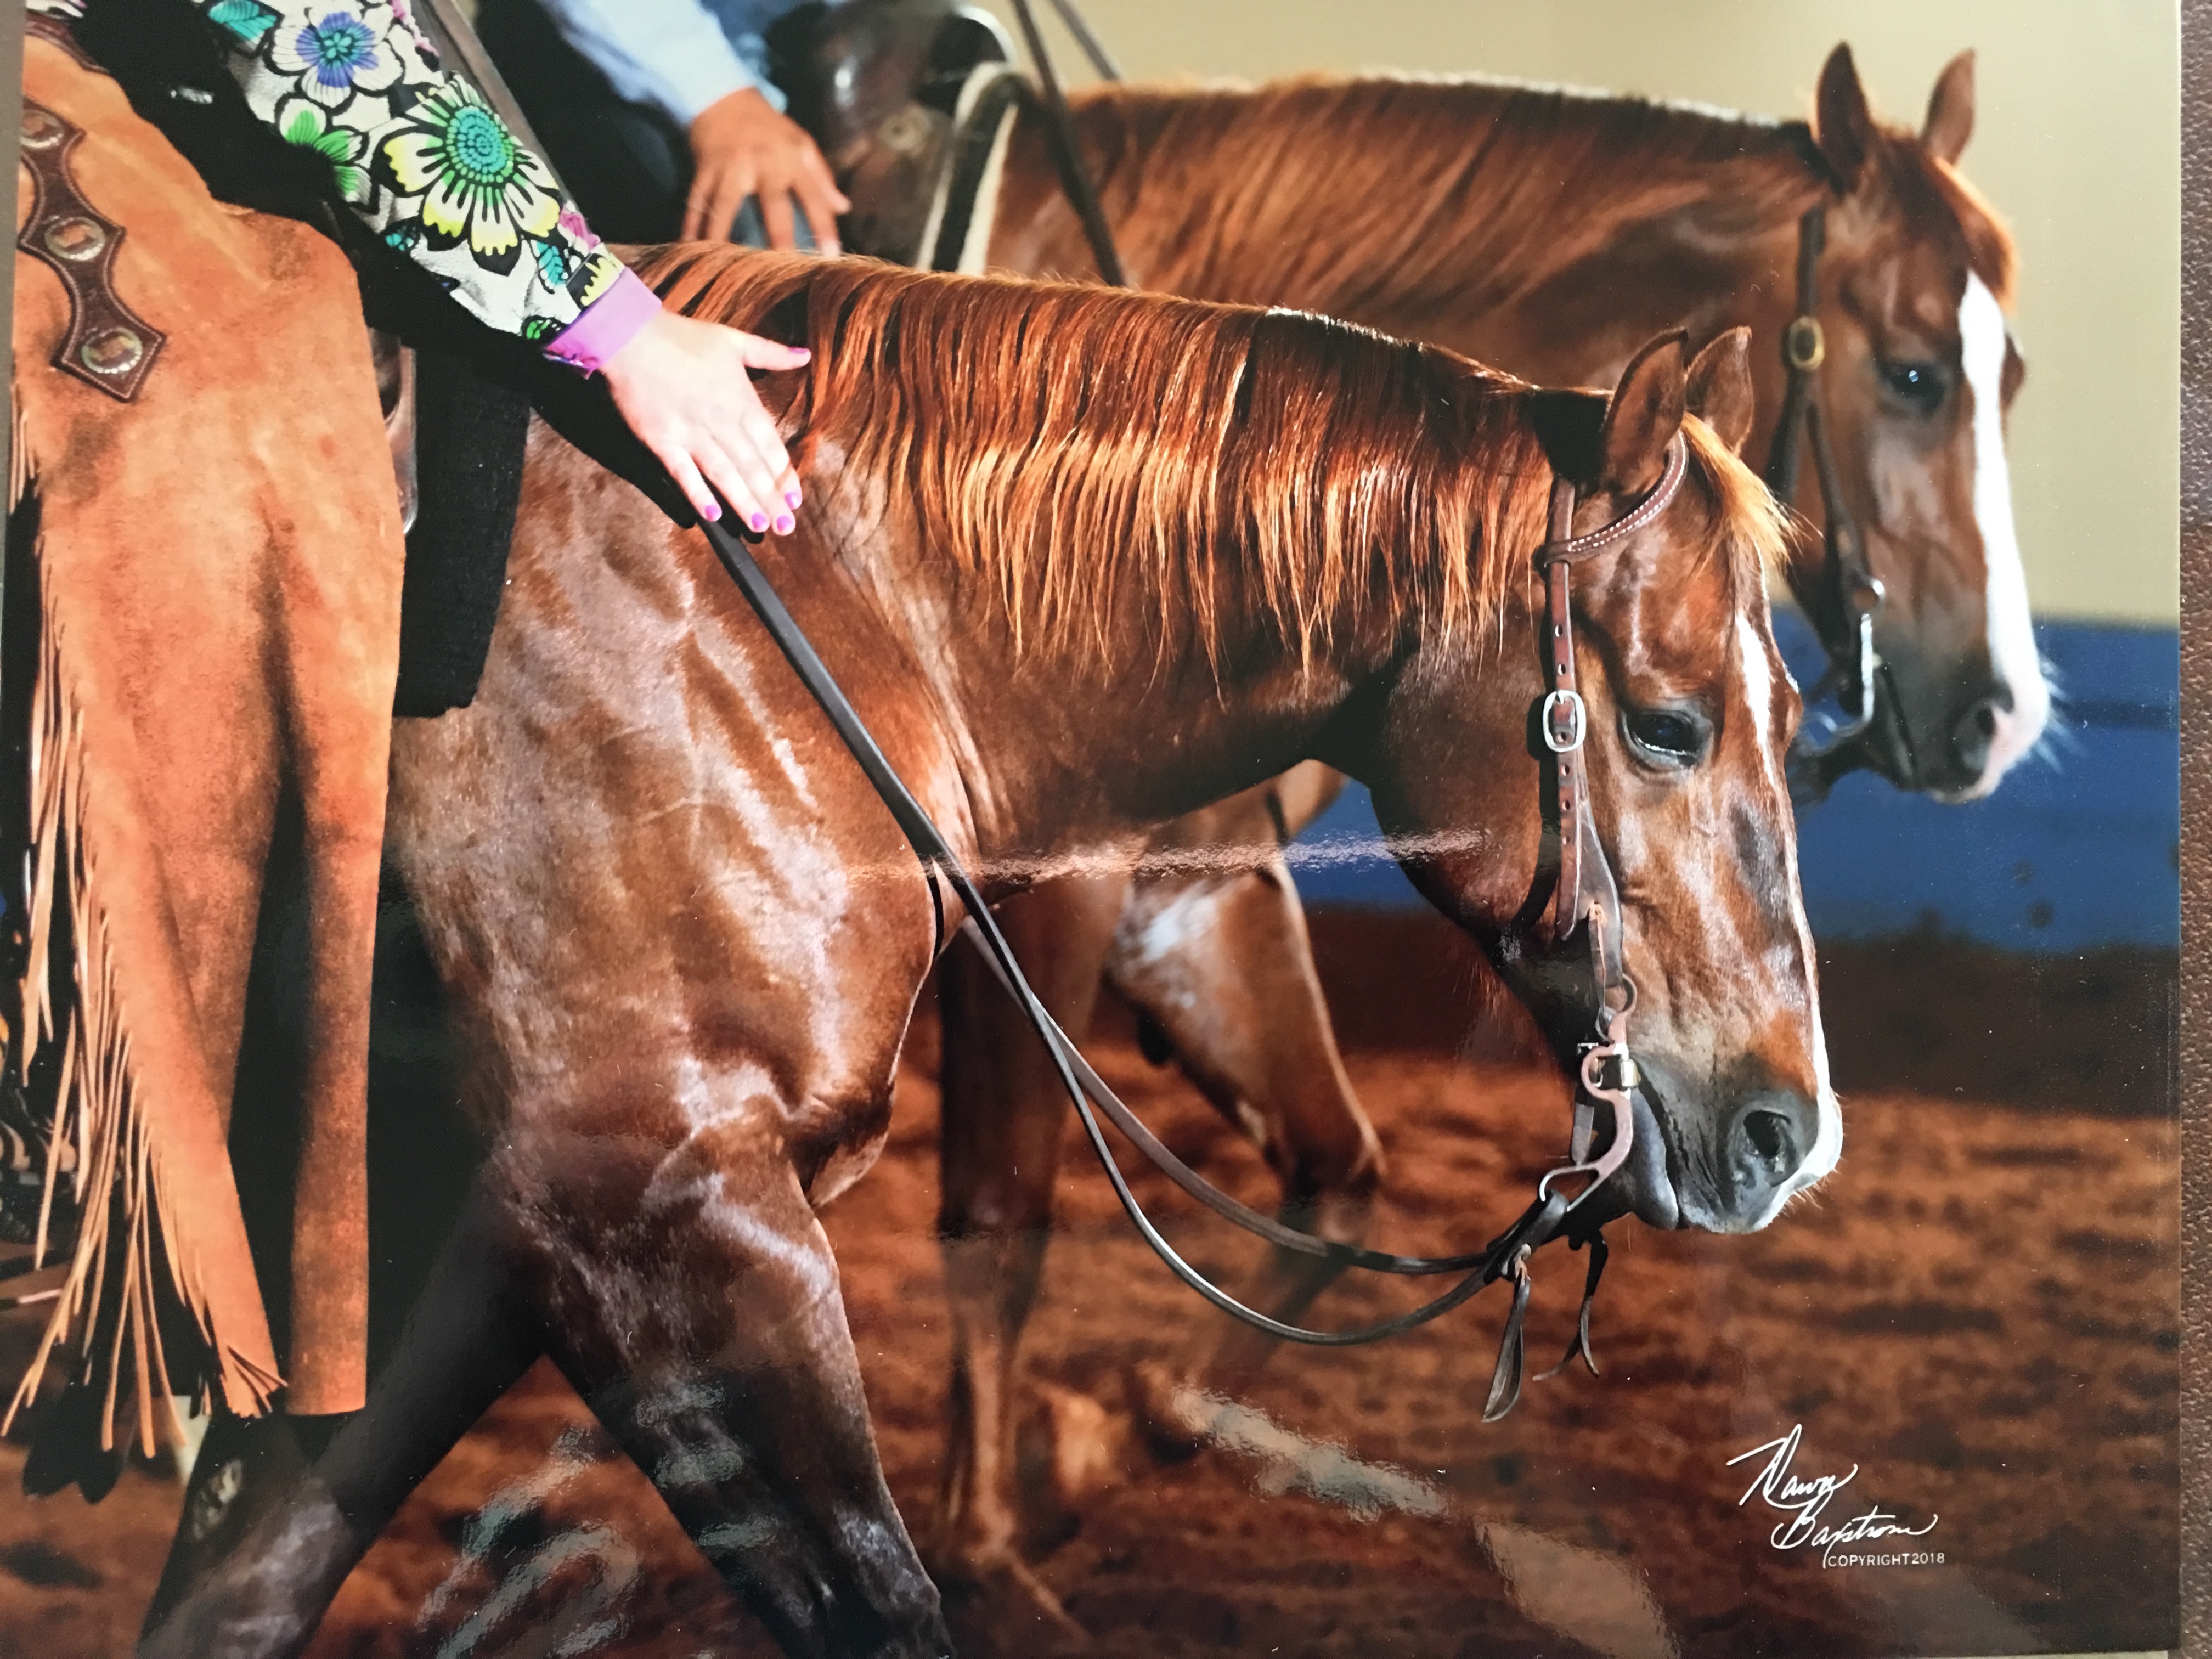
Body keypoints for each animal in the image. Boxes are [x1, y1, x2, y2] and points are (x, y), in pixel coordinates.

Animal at [138, 245, 1832, 1659]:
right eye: (1668, 723)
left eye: (1797, 712)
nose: (1786, 1130)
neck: (786, 625)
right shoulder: (660, 1213)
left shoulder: (458, 1216)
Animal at [817, 37, 2038, 1596]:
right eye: (1913, 372)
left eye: (2011, 377)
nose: (2000, 709)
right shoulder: (1042, 907)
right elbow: (999, 1216)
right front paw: (985, 1541)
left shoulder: (1194, 898)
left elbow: (1335, 1192)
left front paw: (1103, 1432)